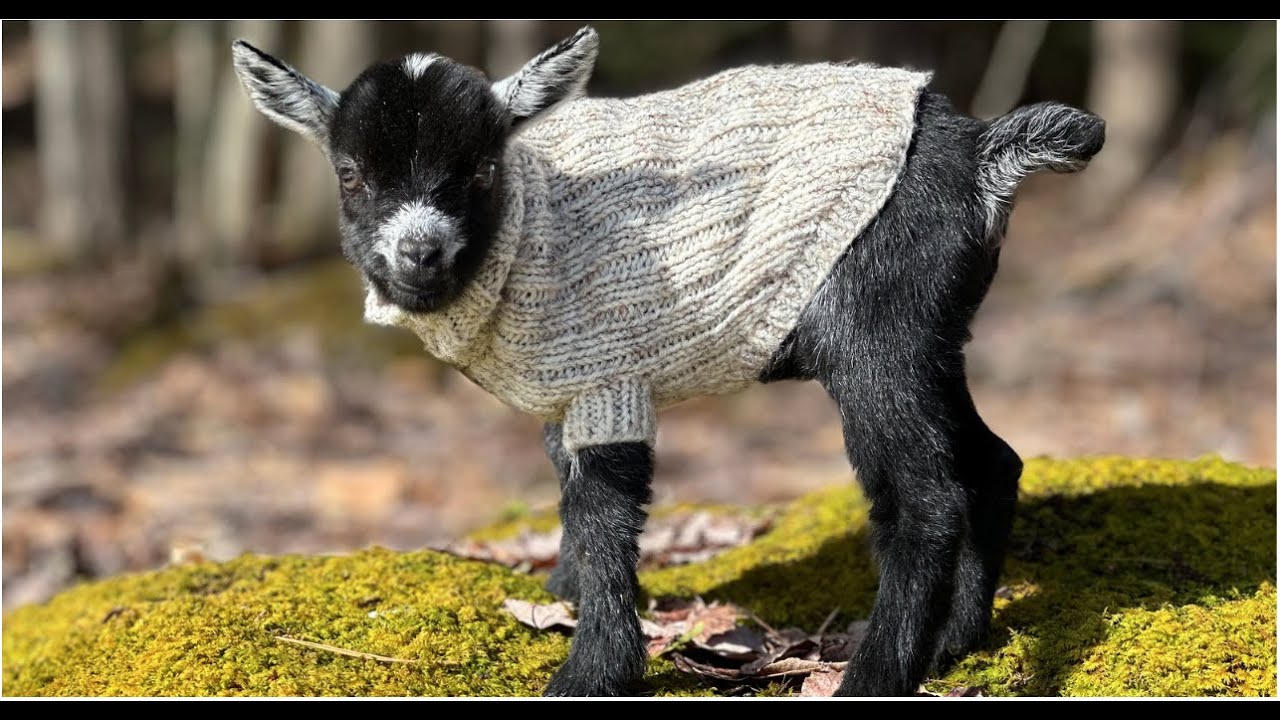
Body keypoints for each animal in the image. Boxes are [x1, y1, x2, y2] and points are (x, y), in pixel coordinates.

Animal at [232, 26, 1104, 696]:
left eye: (479, 168)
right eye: (351, 174)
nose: (420, 252)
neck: (524, 226)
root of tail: (983, 153)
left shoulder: (606, 376)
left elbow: (605, 514)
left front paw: (593, 672)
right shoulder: (565, 391)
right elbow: (569, 499)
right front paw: (558, 597)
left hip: (879, 338)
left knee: (925, 497)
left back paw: (875, 675)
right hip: (931, 338)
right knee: (992, 460)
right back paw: (960, 639)